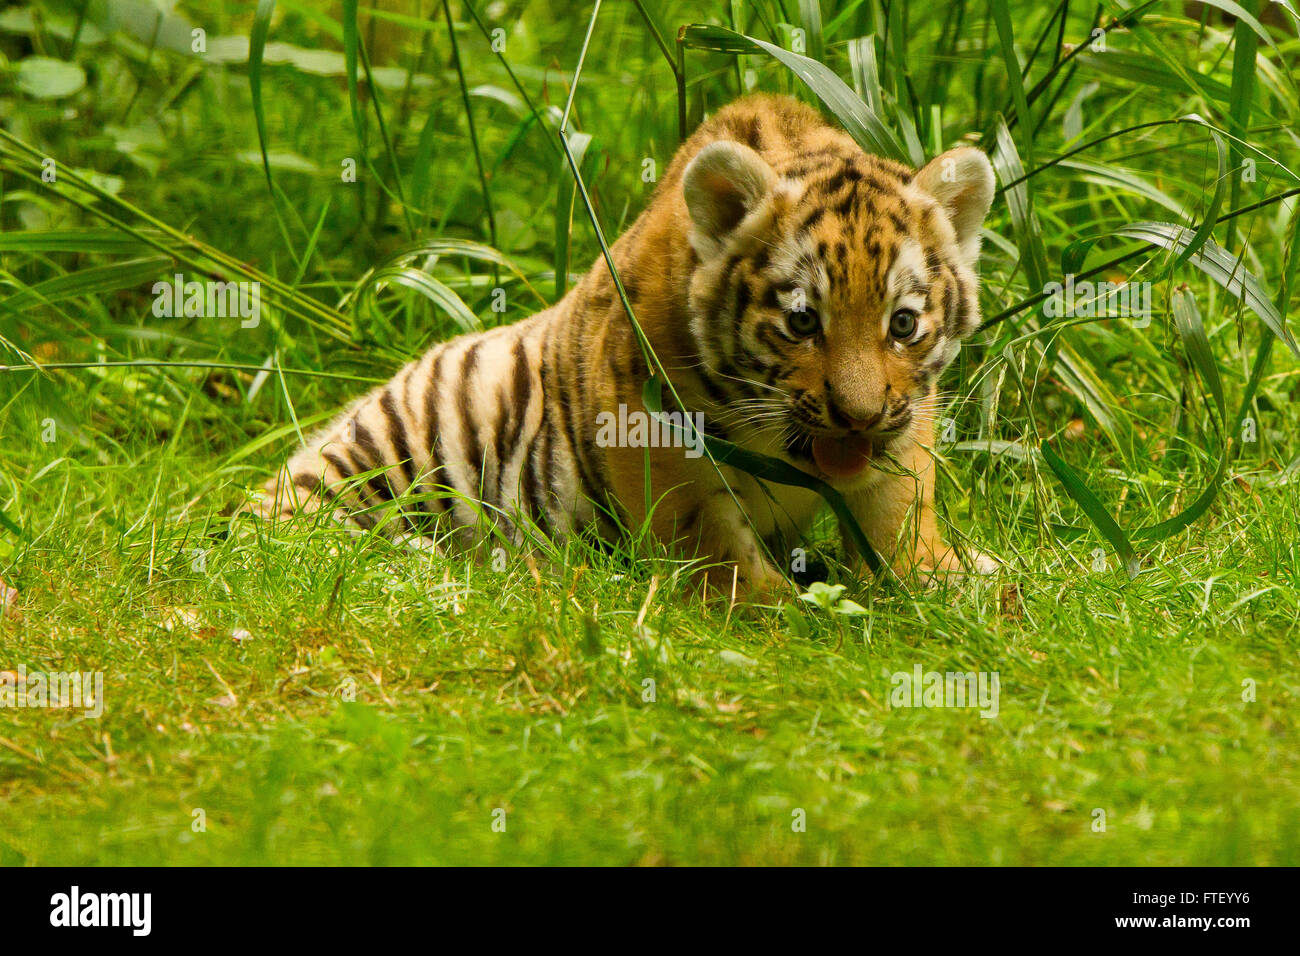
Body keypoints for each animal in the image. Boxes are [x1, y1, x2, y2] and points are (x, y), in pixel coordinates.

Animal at [255, 93, 999, 599]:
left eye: (902, 325)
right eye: (801, 322)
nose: (858, 418)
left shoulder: (908, 420)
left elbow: (901, 511)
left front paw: (945, 580)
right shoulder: (652, 432)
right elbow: (714, 543)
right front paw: (775, 611)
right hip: (392, 450)